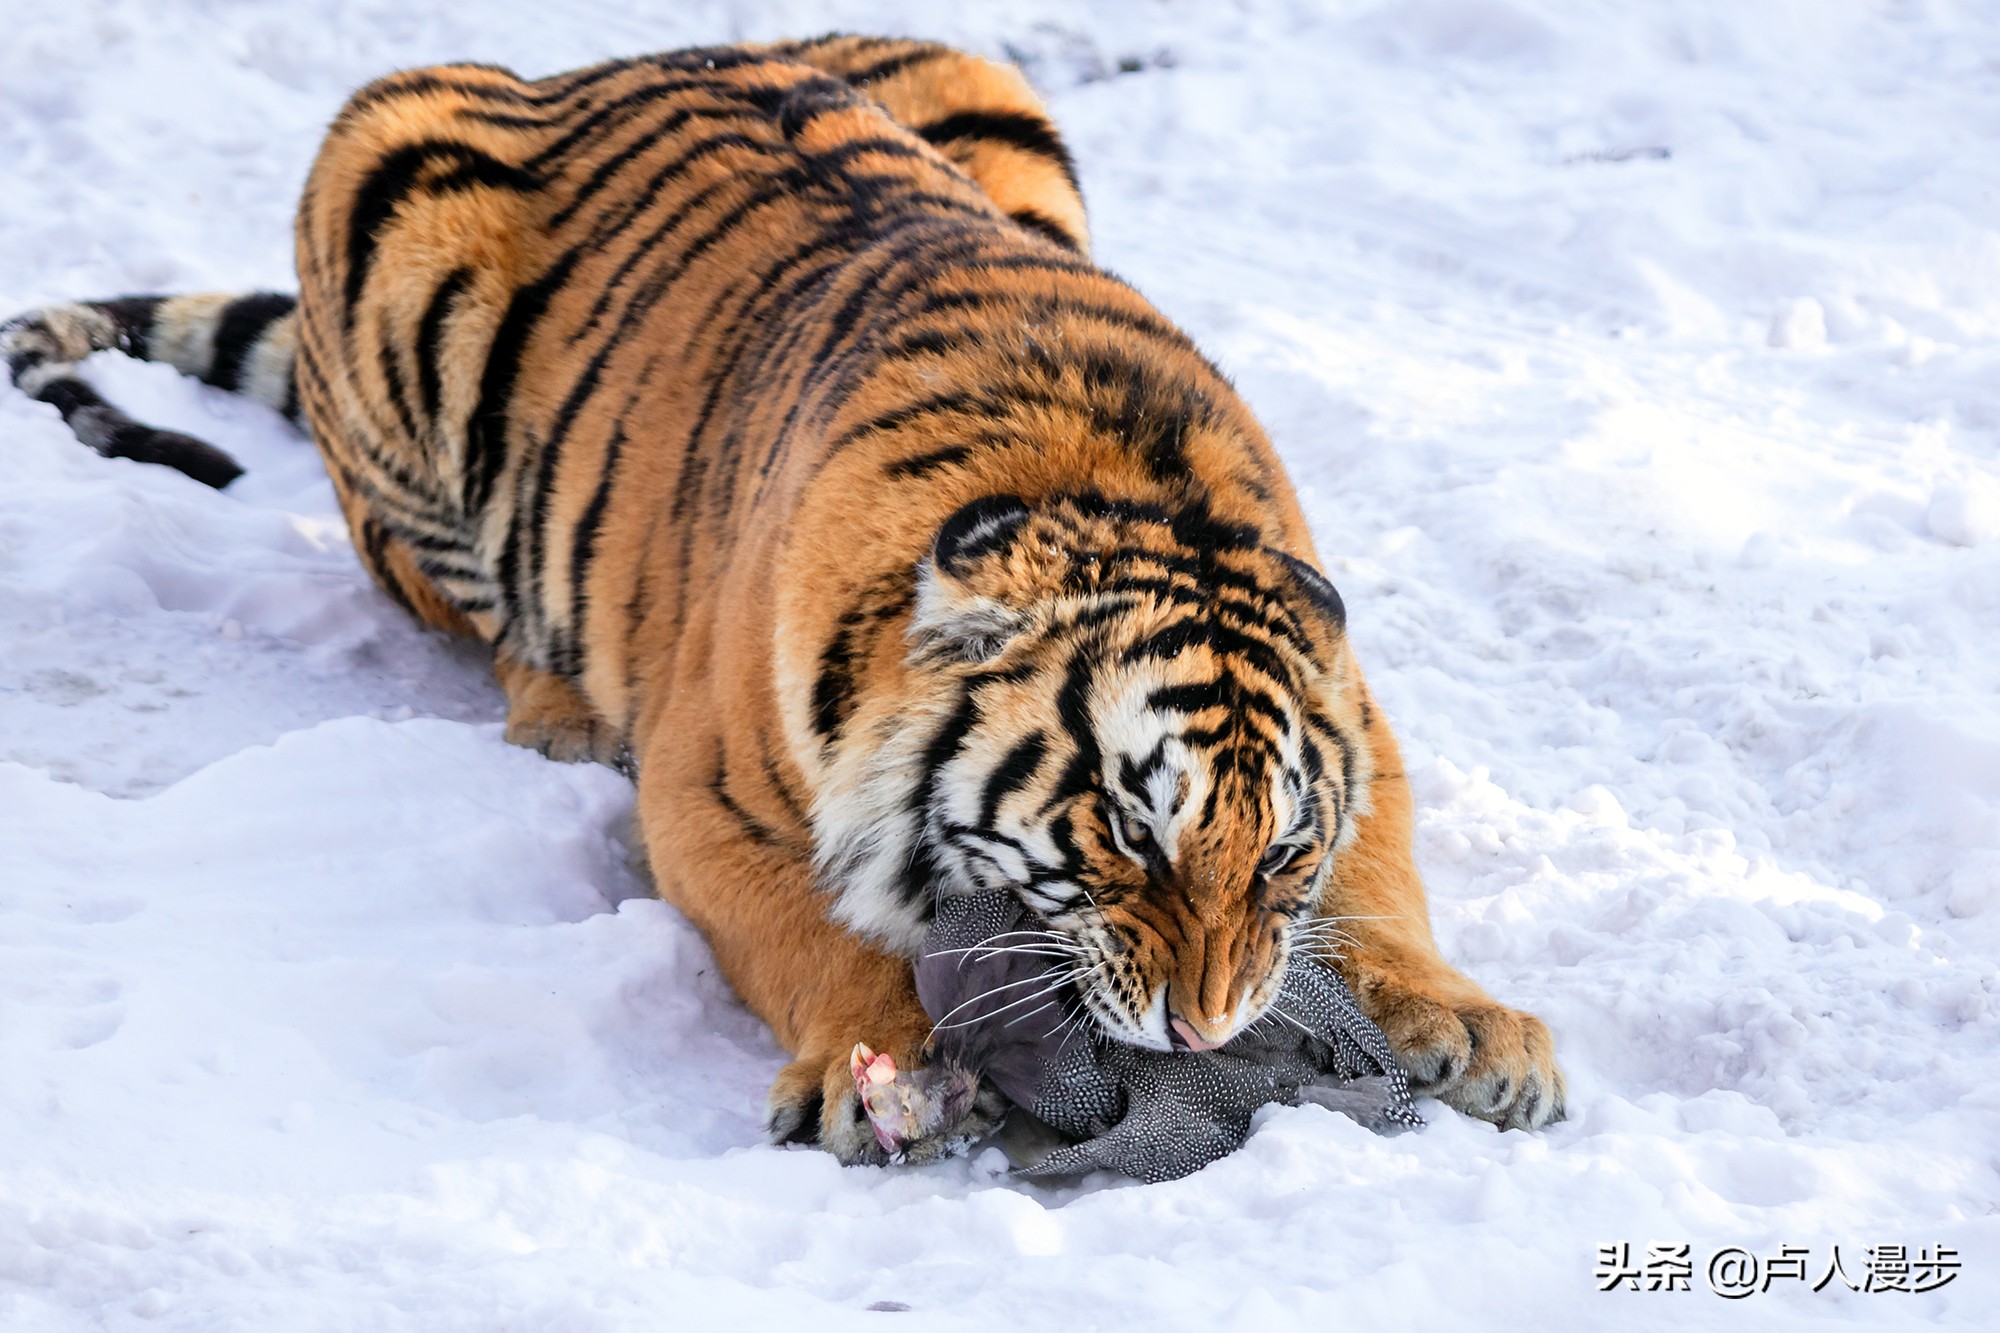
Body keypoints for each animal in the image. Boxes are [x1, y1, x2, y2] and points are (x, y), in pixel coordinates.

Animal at [2, 34, 1565, 1161]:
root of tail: (620, 60)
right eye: (1127, 834)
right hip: (382, 175)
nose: (1203, 1032)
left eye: (1278, 855)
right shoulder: (707, 790)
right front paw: (862, 1075)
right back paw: (558, 704)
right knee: (458, 595)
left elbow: (1385, 886)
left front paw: (1476, 1030)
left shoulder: (1359, 722)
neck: (1121, 487)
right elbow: (811, 930)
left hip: (986, 86)